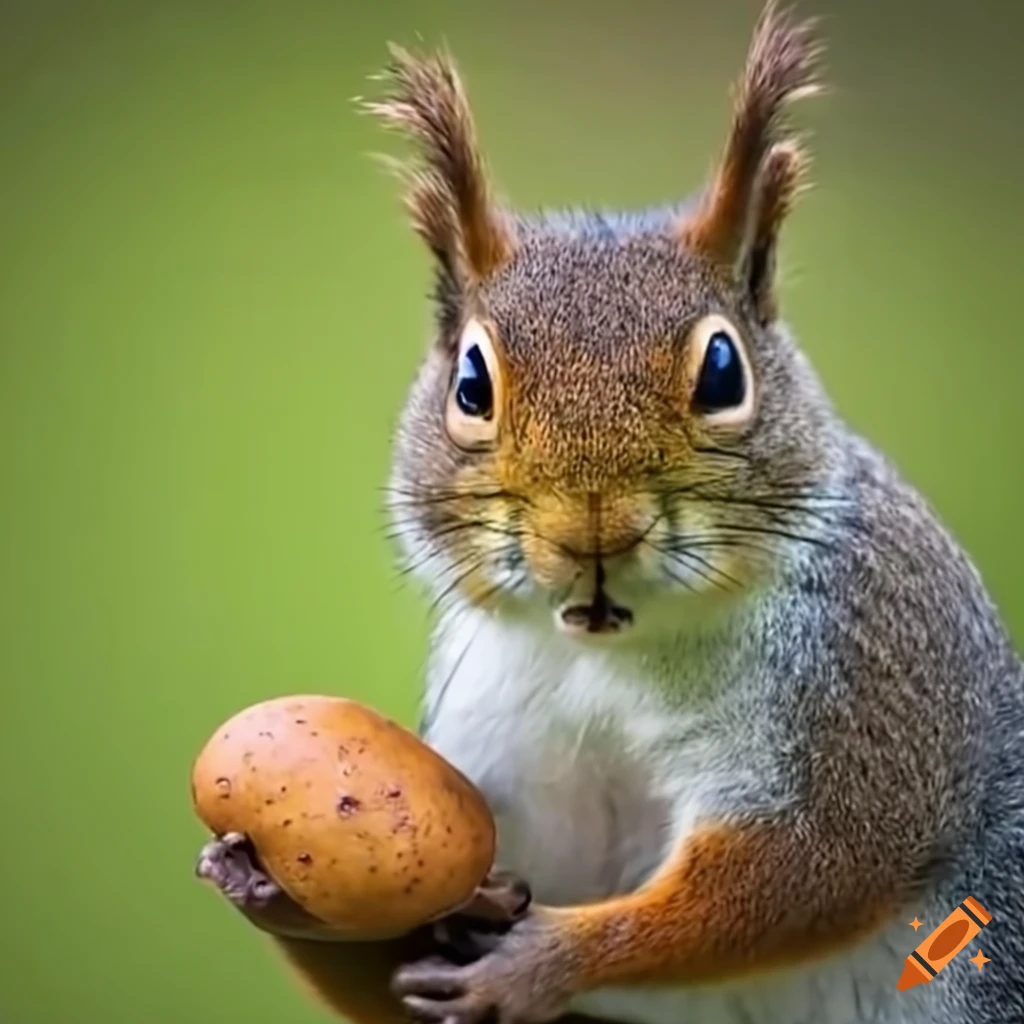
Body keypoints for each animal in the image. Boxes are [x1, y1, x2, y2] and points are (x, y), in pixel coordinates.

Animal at [196, 3, 1024, 1023]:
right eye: (471, 383)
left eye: (724, 369)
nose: (590, 528)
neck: (607, 663)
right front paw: (259, 881)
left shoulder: (869, 680)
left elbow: (813, 866)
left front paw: (547, 958)